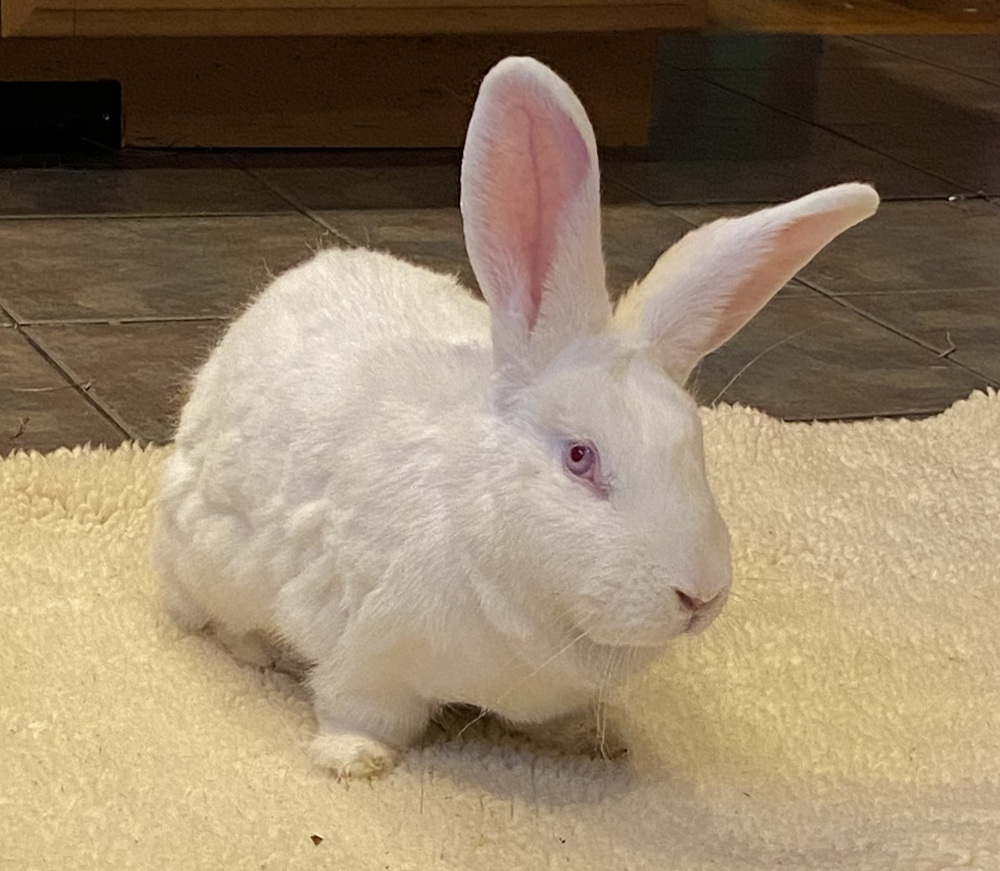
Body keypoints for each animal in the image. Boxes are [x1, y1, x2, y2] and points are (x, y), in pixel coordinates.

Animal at [154, 55, 879, 779]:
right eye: (580, 458)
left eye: (695, 447)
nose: (699, 596)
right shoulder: (367, 654)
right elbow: (359, 707)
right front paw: (356, 761)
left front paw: (593, 738)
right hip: (201, 560)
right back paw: (259, 651)